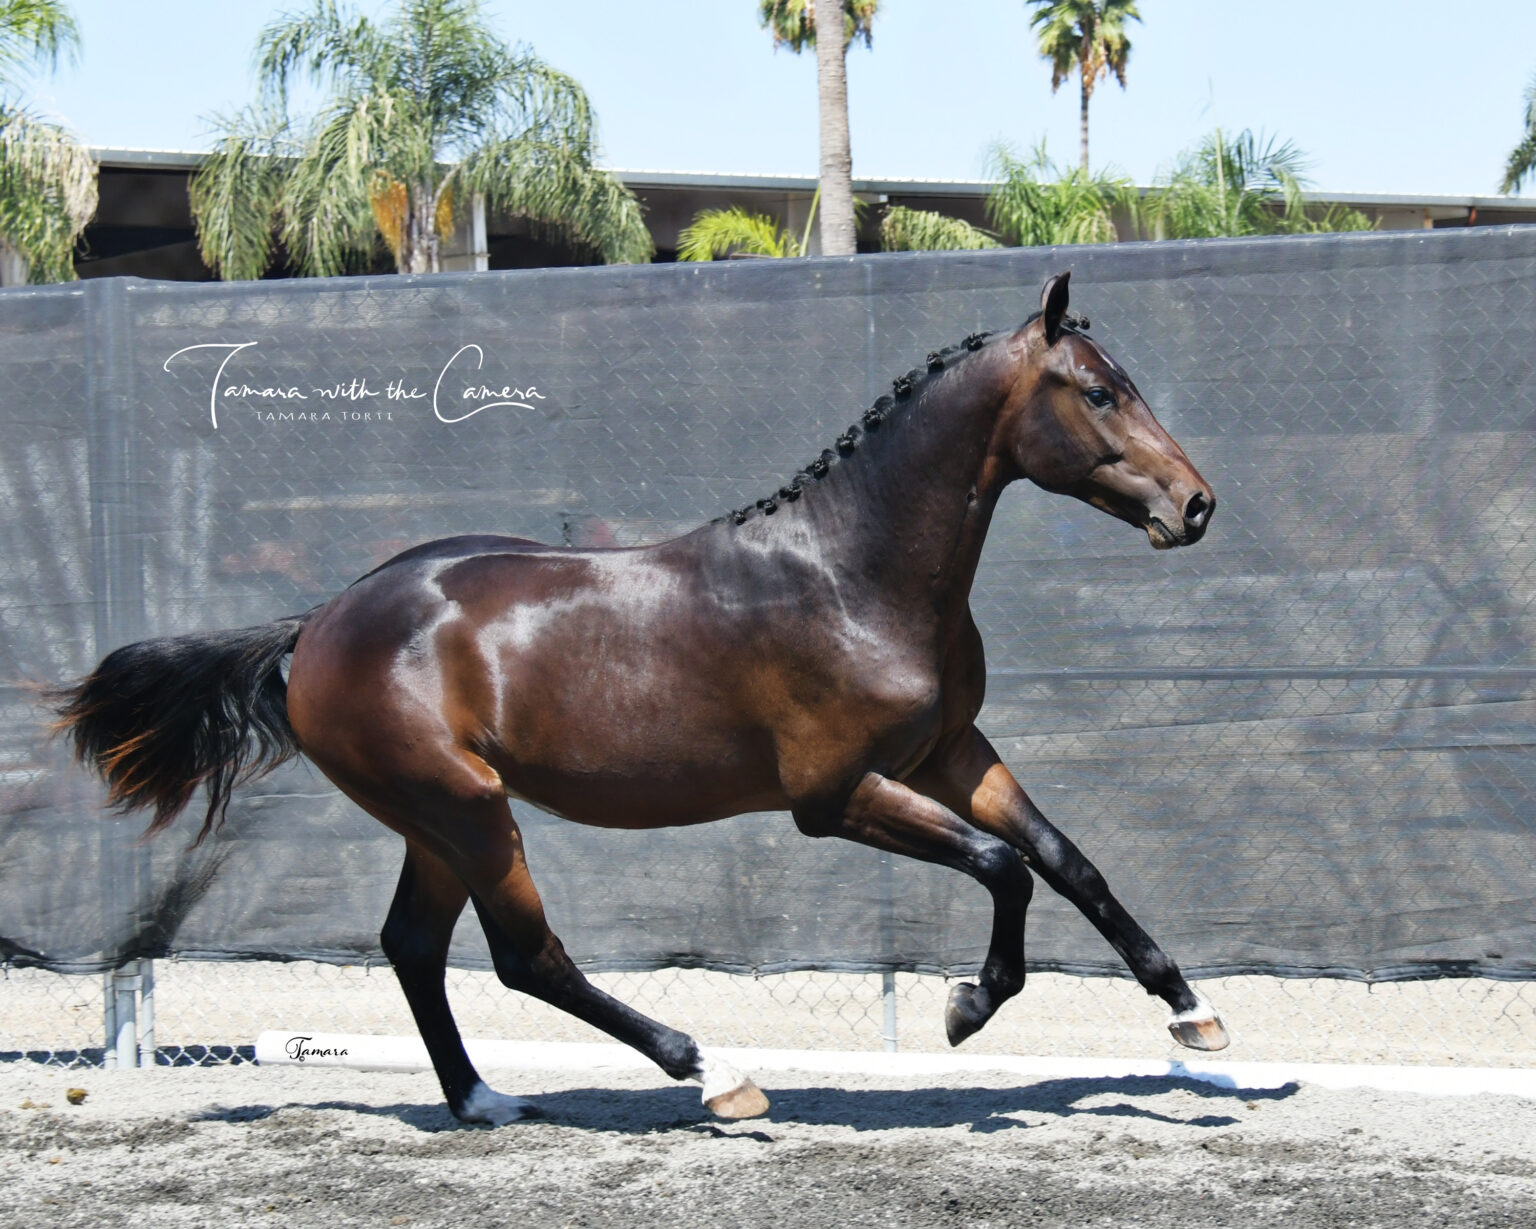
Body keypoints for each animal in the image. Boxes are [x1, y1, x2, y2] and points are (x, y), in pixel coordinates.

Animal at [54, 271, 1223, 1125]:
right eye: (1100, 391)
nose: (1197, 504)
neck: (855, 572)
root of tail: (318, 625)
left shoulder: (950, 752)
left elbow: (1067, 860)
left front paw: (1194, 1014)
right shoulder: (836, 794)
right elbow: (1003, 868)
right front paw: (968, 1005)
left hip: (436, 820)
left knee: (415, 948)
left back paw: (483, 1100)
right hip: (470, 811)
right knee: (527, 958)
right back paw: (713, 1073)